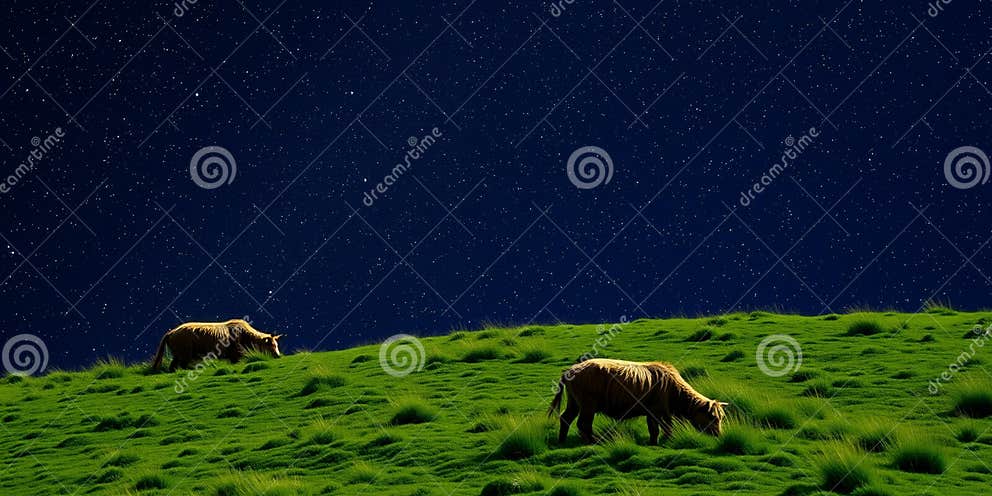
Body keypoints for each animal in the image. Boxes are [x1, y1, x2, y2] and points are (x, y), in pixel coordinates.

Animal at [151, 319, 284, 371]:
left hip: (178, 354)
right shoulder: (236, 355)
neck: (246, 336)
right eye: (272, 345)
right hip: (185, 352)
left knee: (173, 366)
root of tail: (171, 332)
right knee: (182, 365)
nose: (278, 355)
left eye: (277, 345)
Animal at [548, 358, 727, 445]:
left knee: (566, 418)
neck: (674, 391)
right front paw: (659, 441)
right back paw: (593, 441)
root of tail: (570, 370)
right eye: (712, 417)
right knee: (583, 424)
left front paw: (659, 440)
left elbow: (661, 428)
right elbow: (659, 429)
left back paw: (562, 440)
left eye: (721, 418)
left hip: (574, 402)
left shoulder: (659, 412)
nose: (719, 434)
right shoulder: (656, 411)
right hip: (587, 405)